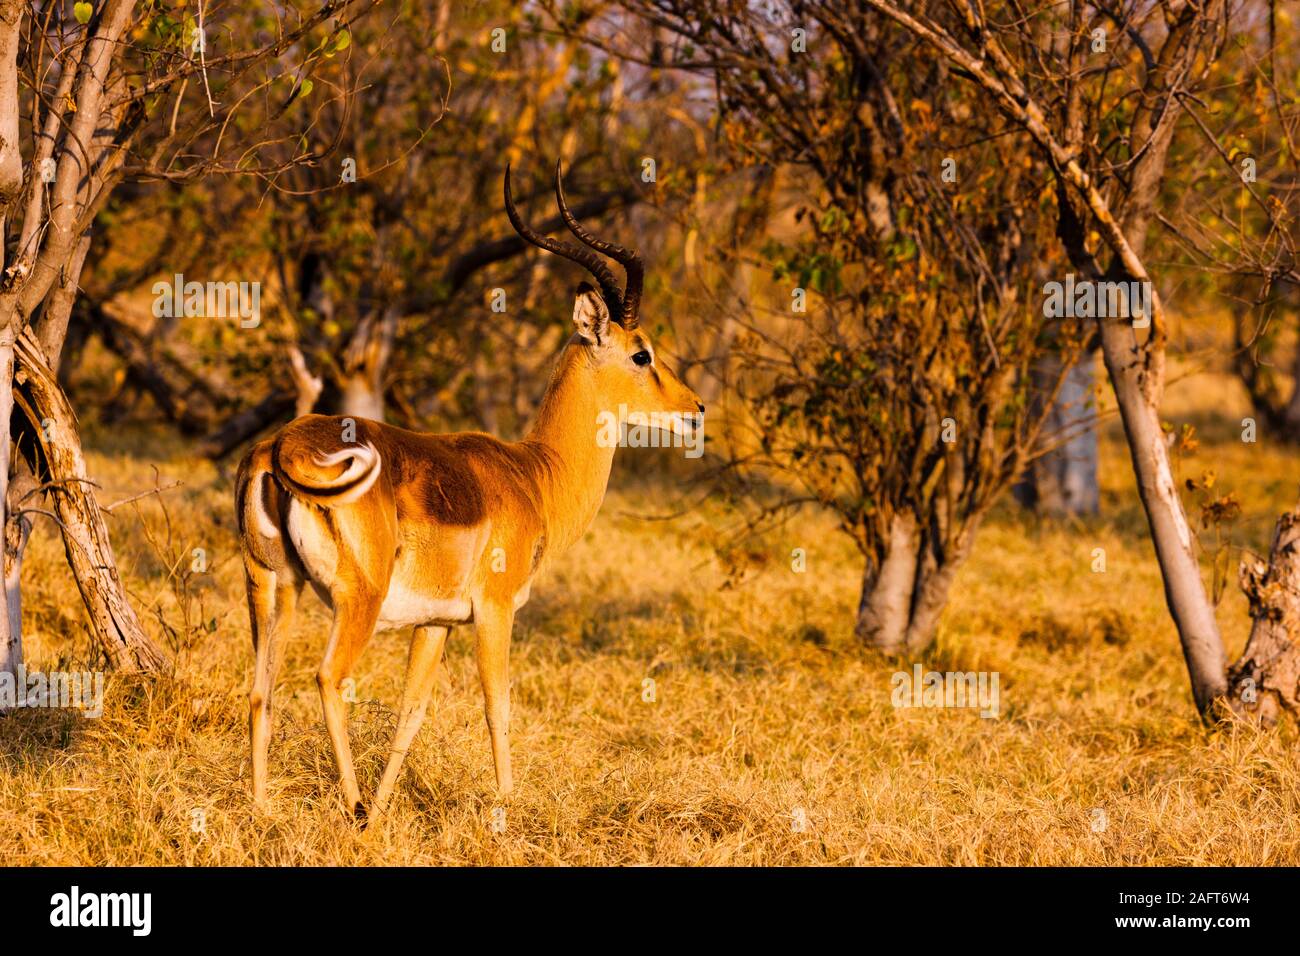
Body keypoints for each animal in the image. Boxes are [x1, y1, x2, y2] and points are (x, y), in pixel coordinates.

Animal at [235, 163, 705, 819]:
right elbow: (497, 706)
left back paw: (264, 810)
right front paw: (506, 811)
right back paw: (350, 807)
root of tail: (280, 446)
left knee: (260, 688)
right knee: (328, 678)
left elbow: (412, 712)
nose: (695, 410)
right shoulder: (495, 609)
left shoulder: (436, 624)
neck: (535, 473)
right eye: (642, 354)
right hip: (358, 599)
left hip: (271, 584)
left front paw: (384, 814)